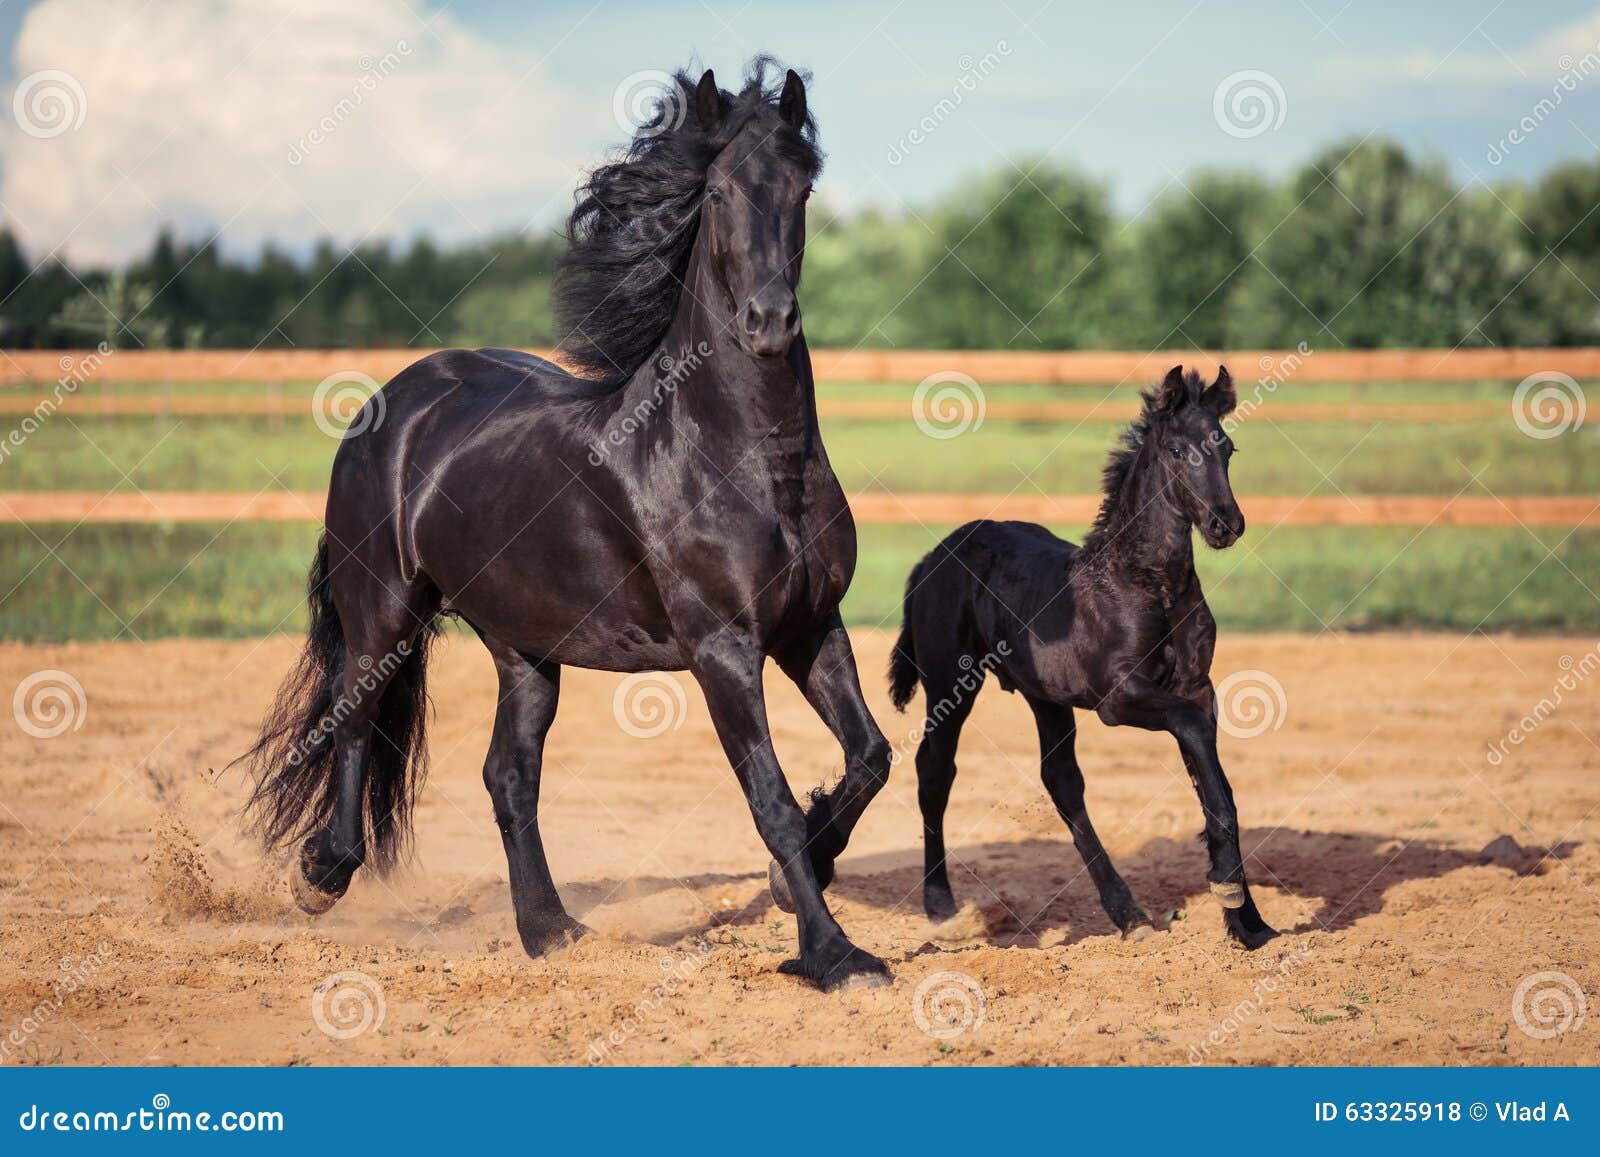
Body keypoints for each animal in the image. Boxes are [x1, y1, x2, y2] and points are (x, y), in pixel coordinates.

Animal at [237, 61, 895, 992]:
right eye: (719, 192)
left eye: (801, 189)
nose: (769, 323)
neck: (750, 460)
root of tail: (392, 399)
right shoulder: (722, 648)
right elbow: (766, 796)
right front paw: (836, 955)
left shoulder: (810, 624)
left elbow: (870, 754)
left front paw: (806, 868)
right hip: (384, 610)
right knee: (353, 720)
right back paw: (319, 874)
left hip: (525, 648)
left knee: (507, 775)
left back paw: (551, 929)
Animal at [886, 365, 1278, 950]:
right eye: (1177, 449)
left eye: (1226, 447)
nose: (1225, 524)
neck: (1148, 585)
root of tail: (932, 558)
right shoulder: (1120, 698)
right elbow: (1191, 736)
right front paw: (1230, 891)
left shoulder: (1198, 688)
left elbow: (1214, 784)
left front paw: (1246, 918)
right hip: (949, 683)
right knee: (935, 771)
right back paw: (941, 906)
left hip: (1044, 696)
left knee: (1061, 780)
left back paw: (1128, 913)